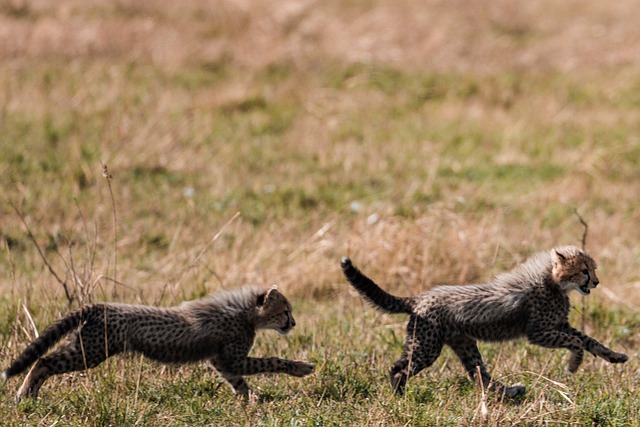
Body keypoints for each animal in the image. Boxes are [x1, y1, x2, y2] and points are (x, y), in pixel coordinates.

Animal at [2, 286, 314, 402]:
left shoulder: (221, 360)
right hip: (89, 352)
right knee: (43, 360)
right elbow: (271, 361)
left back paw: (27, 394)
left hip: (84, 347)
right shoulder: (233, 357)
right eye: (285, 311)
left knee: (43, 360)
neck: (246, 312)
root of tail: (99, 305)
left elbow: (237, 381)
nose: (293, 324)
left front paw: (250, 400)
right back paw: (24, 393)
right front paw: (302, 367)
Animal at [341, 245, 628, 398]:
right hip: (427, 346)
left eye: (593, 269)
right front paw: (573, 365)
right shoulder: (539, 333)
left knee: (479, 374)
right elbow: (576, 343)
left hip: (463, 343)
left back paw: (509, 392)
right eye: (584, 271)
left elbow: (589, 340)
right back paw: (398, 396)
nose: (596, 282)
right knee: (399, 368)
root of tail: (420, 297)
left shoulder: (559, 326)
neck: (551, 281)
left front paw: (614, 356)